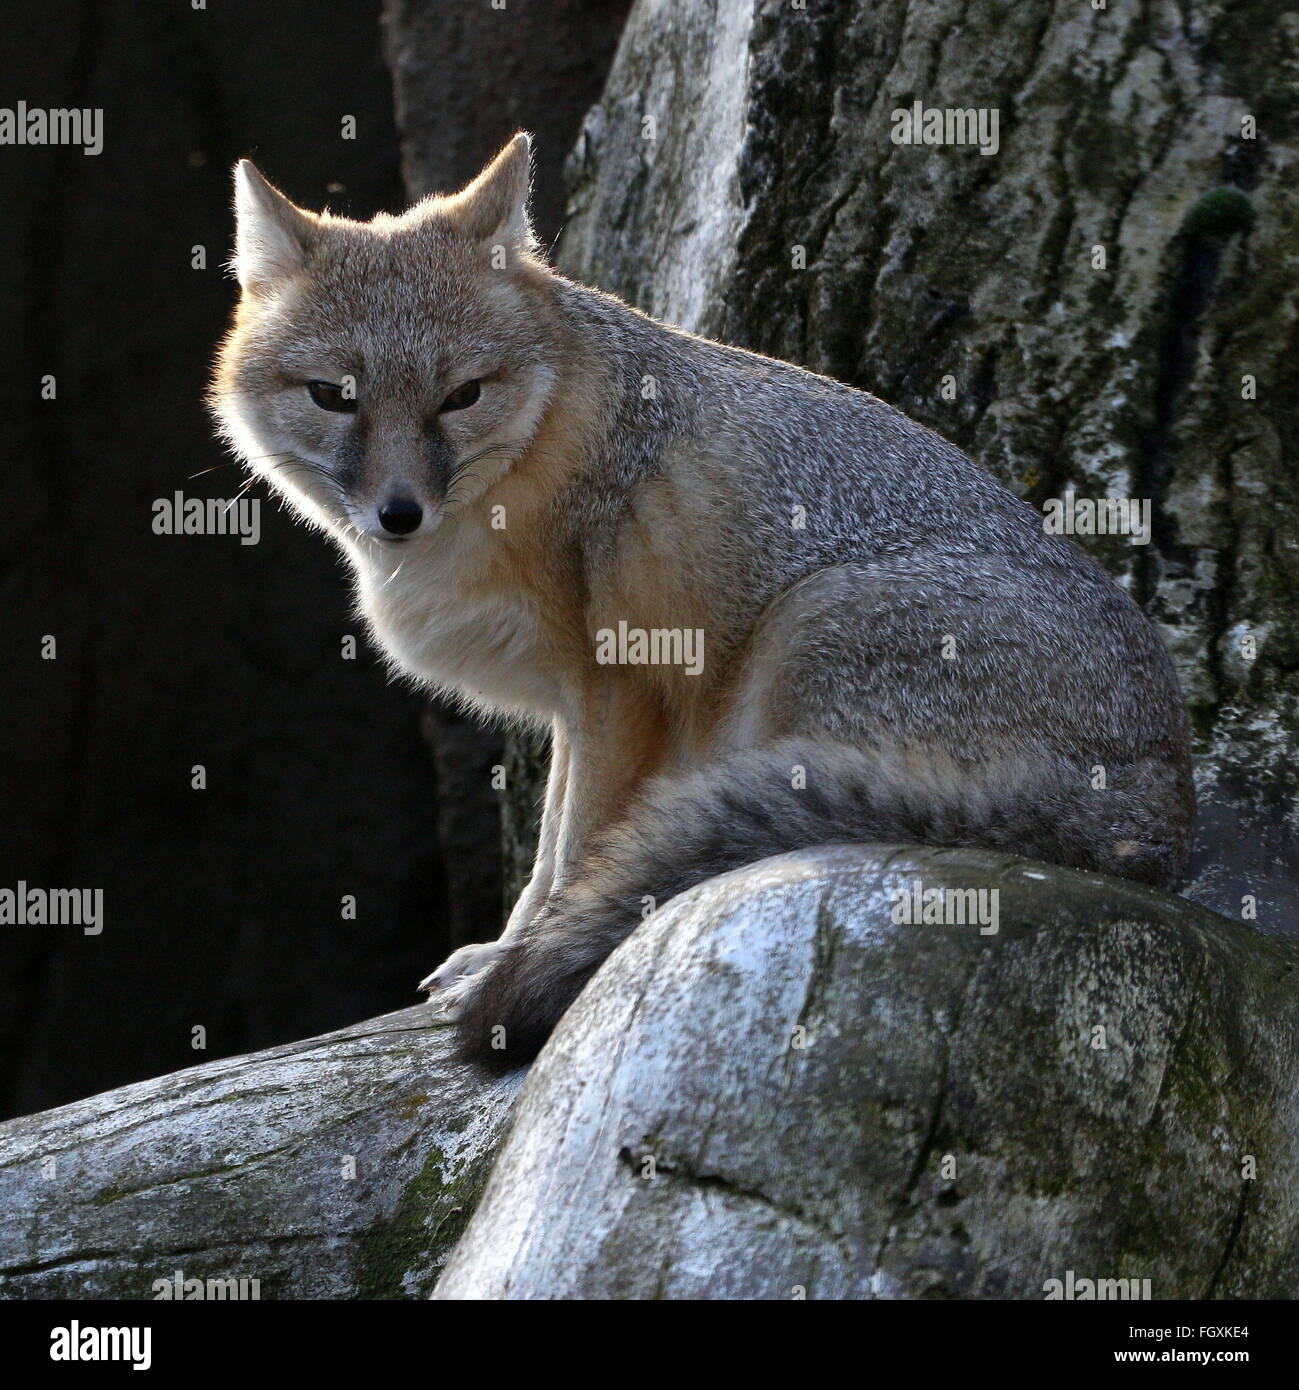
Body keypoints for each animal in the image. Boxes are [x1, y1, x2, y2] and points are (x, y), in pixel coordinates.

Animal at [211, 133, 1195, 1070]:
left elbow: (575, 851)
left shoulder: (618, 686)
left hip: (807, 627)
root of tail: (1164, 799)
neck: (541, 449)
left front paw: (519, 957)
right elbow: (550, 856)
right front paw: (500, 949)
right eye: (334, 397)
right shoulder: (576, 706)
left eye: (461, 397)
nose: (398, 513)